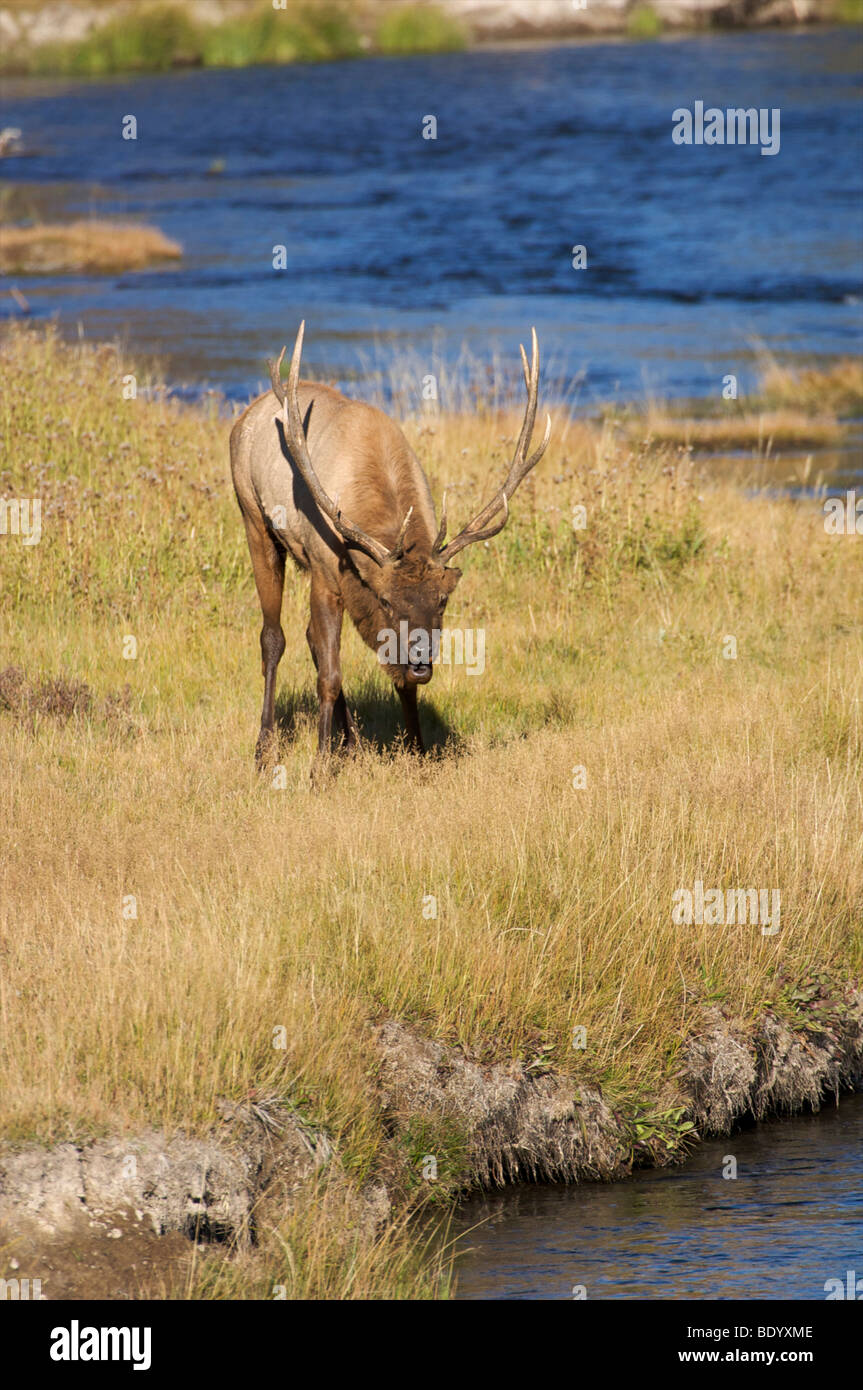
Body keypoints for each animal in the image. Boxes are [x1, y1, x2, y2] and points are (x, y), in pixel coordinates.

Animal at [230, 321, 550, 773]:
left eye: (442, 602)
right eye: (386, 601)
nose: (421, 662)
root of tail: (244, 417)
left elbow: (396, 685)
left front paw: (417, 752)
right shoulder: (326, 571)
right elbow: (329, 676)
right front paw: (318, 769)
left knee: (310, 639)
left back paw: (353, 743)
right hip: (253, 518)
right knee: (274, 637)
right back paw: (264, 750)